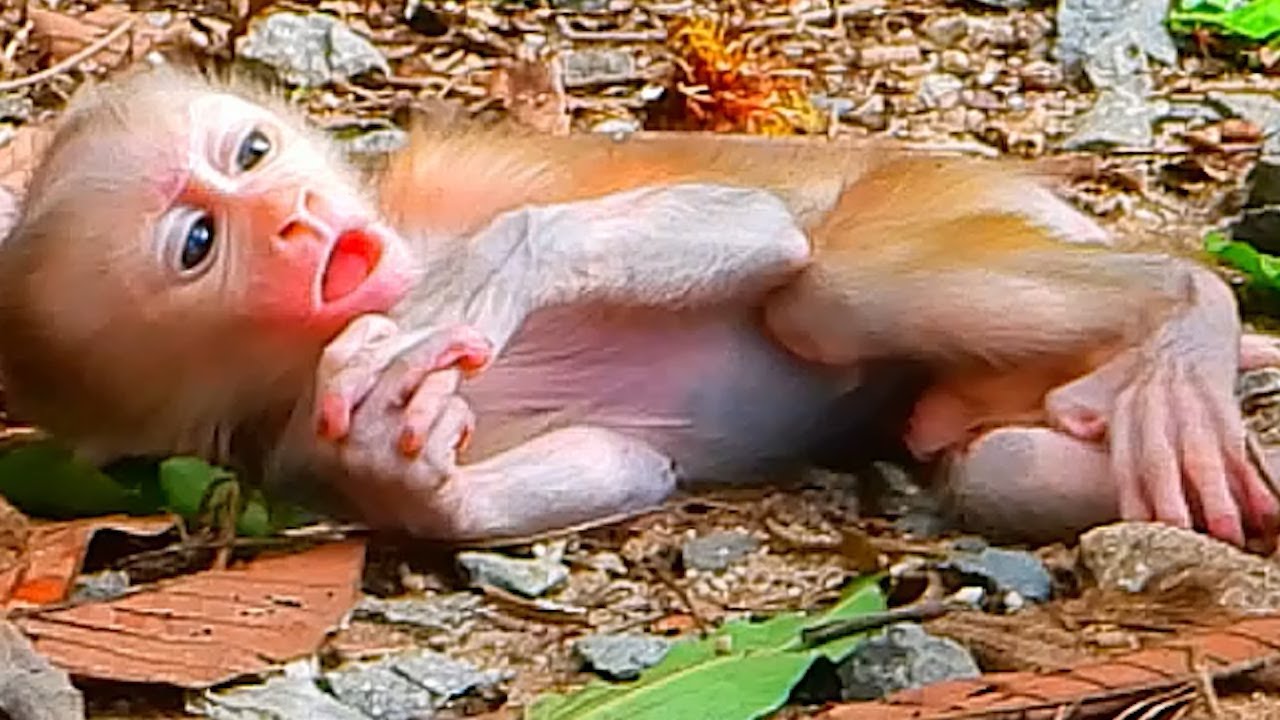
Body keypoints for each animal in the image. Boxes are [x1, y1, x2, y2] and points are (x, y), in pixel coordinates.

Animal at [0, 64, 1273, 547]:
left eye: (251, 154)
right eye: (200, 242)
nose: (300, 224)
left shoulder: (457, 195)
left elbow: (750, 231)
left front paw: (494, 272)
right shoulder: (282, 441)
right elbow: (619, 466)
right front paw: (416, 486)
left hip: (964, 196)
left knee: (826, 290)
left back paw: (1188, 309)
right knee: (994, 461)